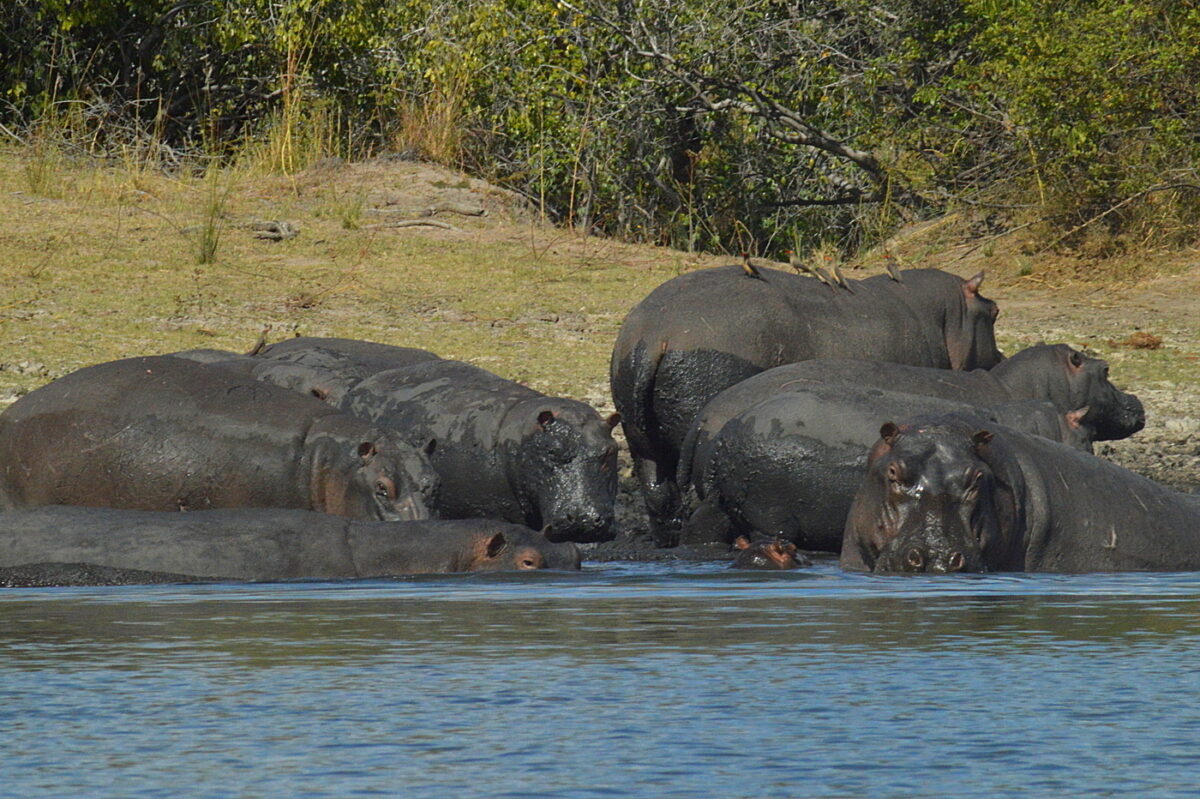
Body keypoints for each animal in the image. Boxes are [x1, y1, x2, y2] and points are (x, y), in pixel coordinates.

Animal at [611, 265, 1003, 542]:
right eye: (995, 310)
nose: (1000, 357)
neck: (945, 316)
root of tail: (652, 335)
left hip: (640, 436)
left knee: (658, 492)